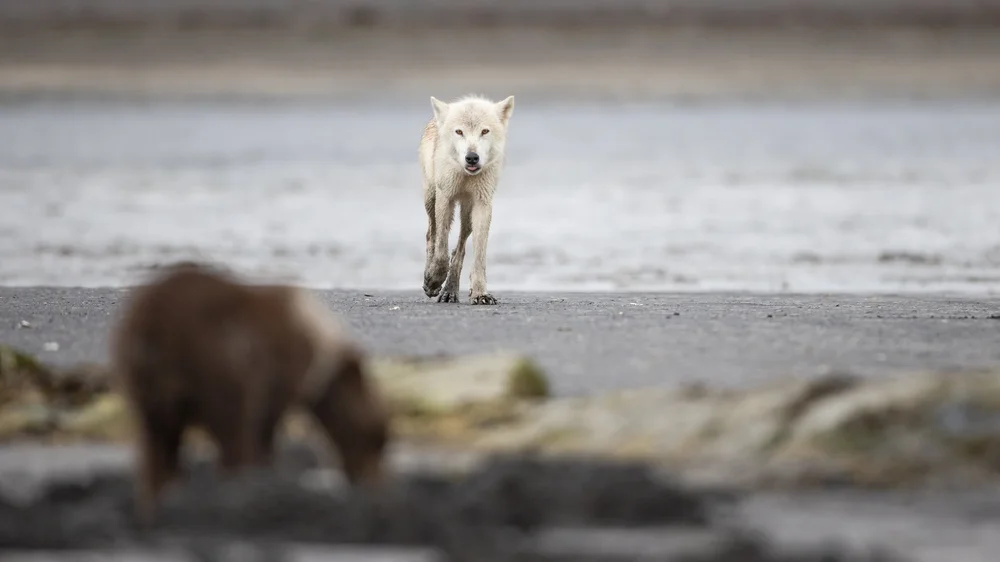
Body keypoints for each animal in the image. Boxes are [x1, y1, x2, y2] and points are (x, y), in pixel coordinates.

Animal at [111, 262, 391, 524]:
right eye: (375, 438)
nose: (369, 489)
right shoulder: (275, 367)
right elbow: (260, 423)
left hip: (155, 379)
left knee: (158, 437)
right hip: (202, 360)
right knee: (217, 424)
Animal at [419, 93, 515, 305]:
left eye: (485, 131)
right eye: (459, 132)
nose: (472, 157)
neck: (465, 176)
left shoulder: (482, 203)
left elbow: (479, 255)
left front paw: (480, 293)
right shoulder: (445, 197)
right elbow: (441, 249)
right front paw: (433, 281)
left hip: (467, 211)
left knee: (459, 249)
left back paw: (449, 291)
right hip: (431, 199)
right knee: (431, 235)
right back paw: (431, 280)